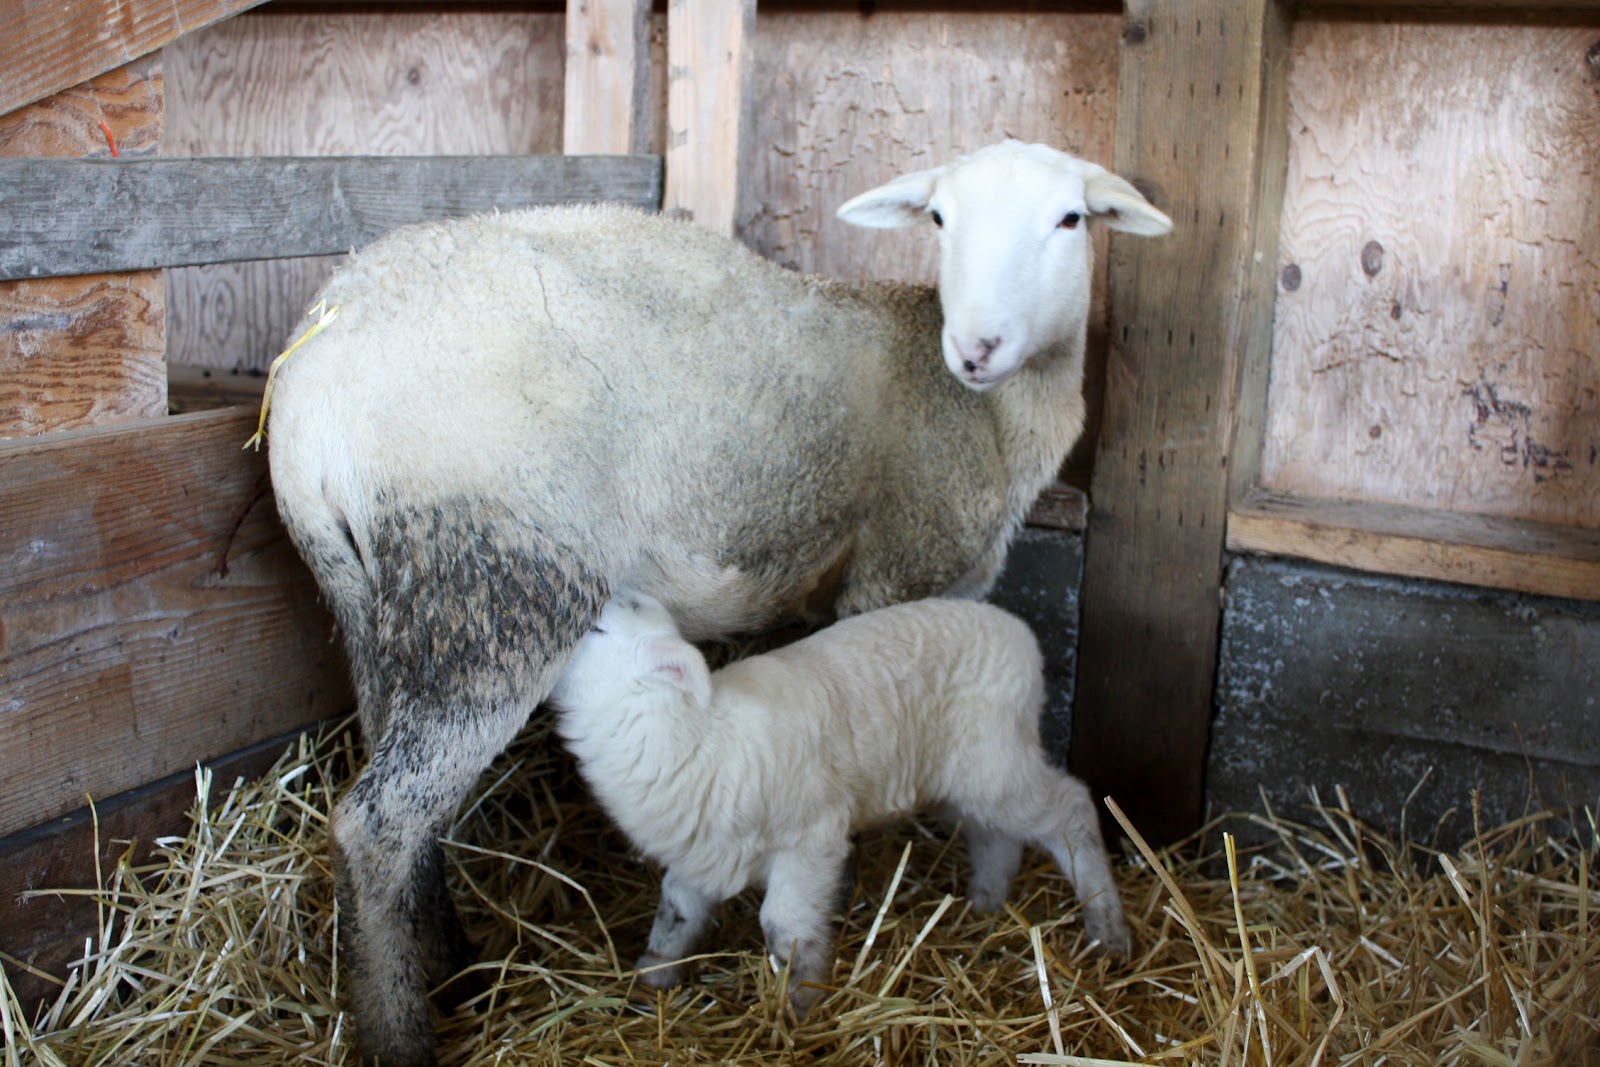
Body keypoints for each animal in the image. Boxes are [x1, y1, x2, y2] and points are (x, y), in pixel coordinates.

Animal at [548, 591, 1130, 1017]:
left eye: (596, 632)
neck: (697, 728)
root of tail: (1020, 633)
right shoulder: (701, 850)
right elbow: (674, 915)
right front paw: (651, 983)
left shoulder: (811, 841)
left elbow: (785, 926)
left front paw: (799, 1008)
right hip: (968, 775)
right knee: (992, 831)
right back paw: (985, 903)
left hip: (998, 762)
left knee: (1071, 811)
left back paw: (1108, 931)